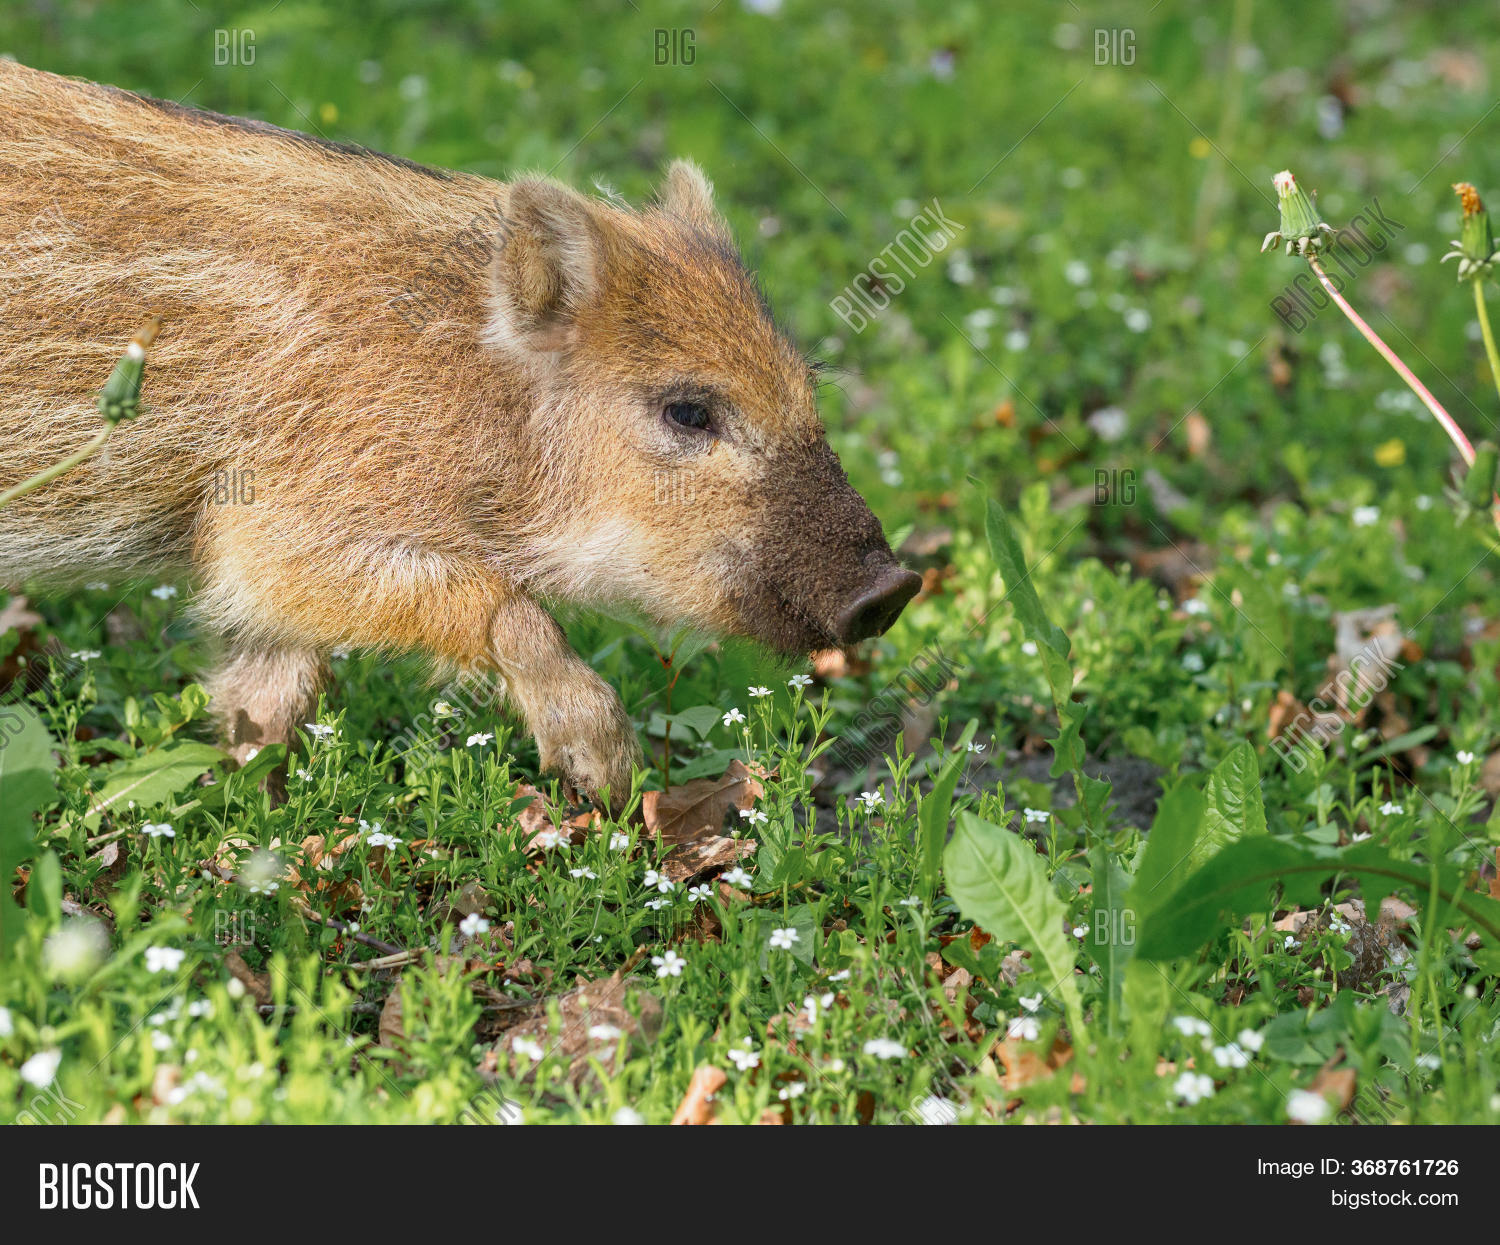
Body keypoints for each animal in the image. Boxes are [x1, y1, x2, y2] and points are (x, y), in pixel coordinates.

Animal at [0, 61, 921, 807]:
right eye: (689, 411)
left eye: (806, 387)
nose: (892, 587)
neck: (472, 388)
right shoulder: (264, 528)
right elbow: (503, 601)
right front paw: (607, 776)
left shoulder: (255, 580)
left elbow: (266, 690)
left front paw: (249, 797)